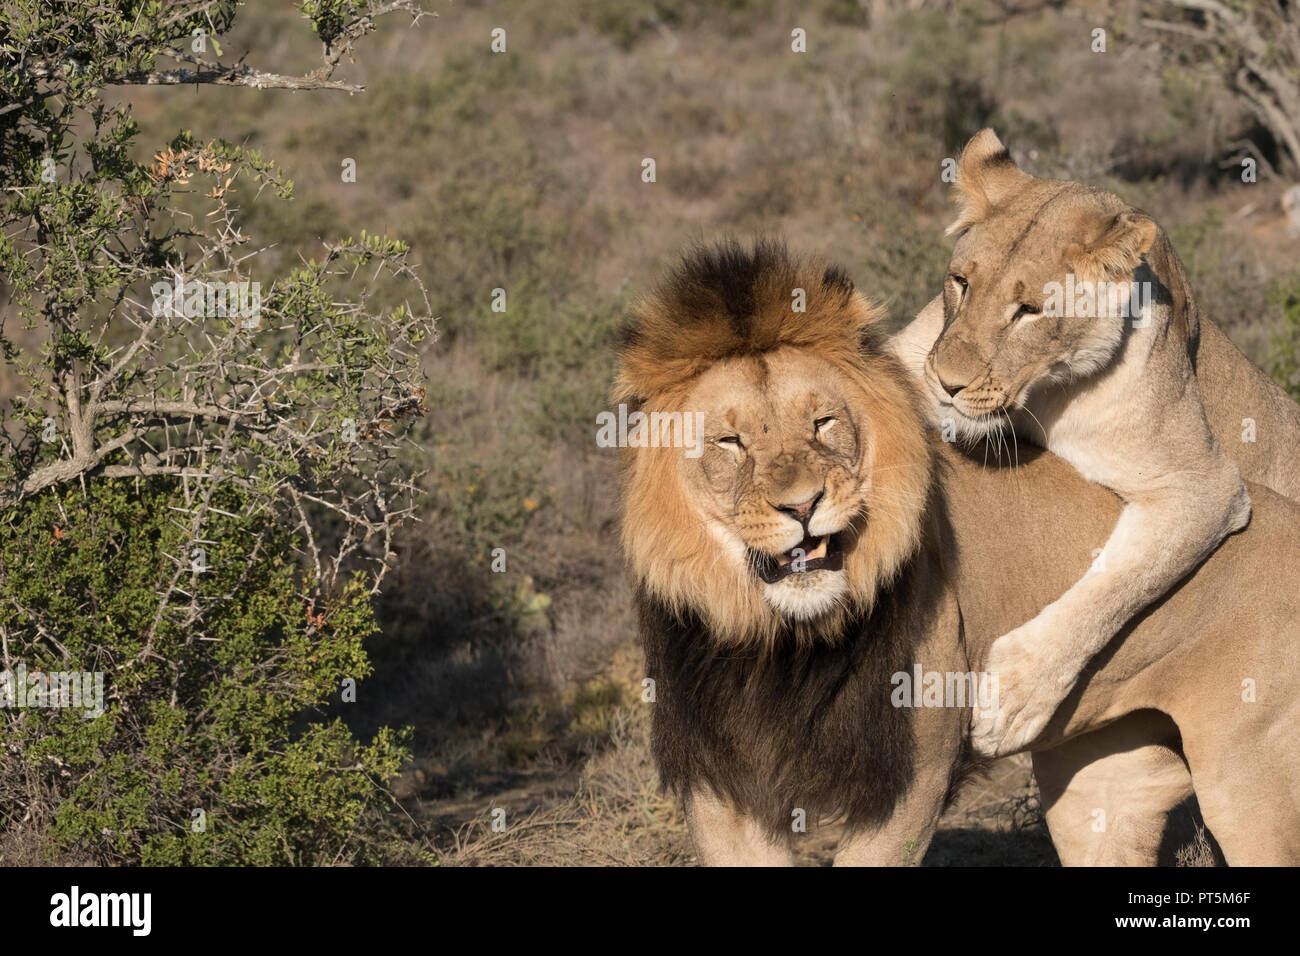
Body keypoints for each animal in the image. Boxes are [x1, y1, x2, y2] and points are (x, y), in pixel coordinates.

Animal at [617, 238, 1300, 865]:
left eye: (824, 423)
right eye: (729, 442)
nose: (803, 505)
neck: (784, 642)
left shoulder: (909, 778)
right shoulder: (720, 783)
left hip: (1250, 786)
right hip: (1102, 782)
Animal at [892, 128, 1300, 757]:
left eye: (1029, 311)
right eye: (961, 283)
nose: (947, 384)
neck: (1042, 395)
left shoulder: (1203, 484)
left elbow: (1118, 585)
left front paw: (1015, 698)